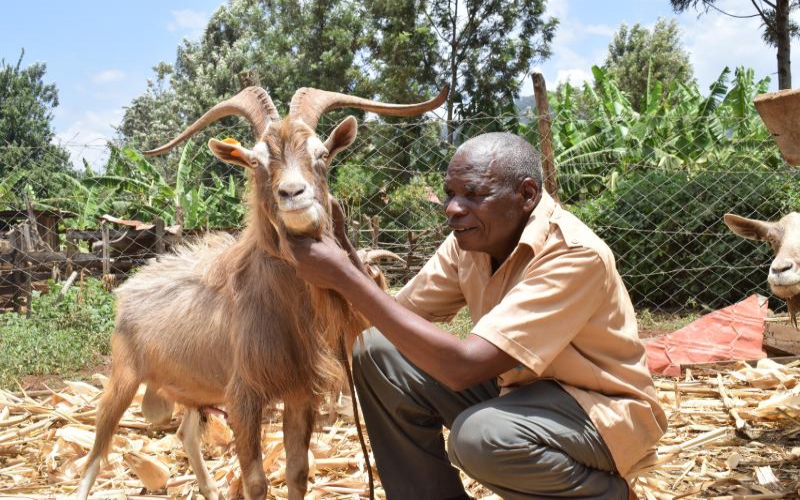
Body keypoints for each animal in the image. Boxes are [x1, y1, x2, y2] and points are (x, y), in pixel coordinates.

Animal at [77, 85, 447, 500]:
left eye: (321, 154)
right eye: (255, 162)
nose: (292, 193)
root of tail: (130, 287)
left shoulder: (299, 394)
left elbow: (298, 471)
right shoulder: (243, 398)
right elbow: (255, 481)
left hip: (192, 387)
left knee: (186, 433)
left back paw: (208, 489)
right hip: (123, 375)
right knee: (96, 452)